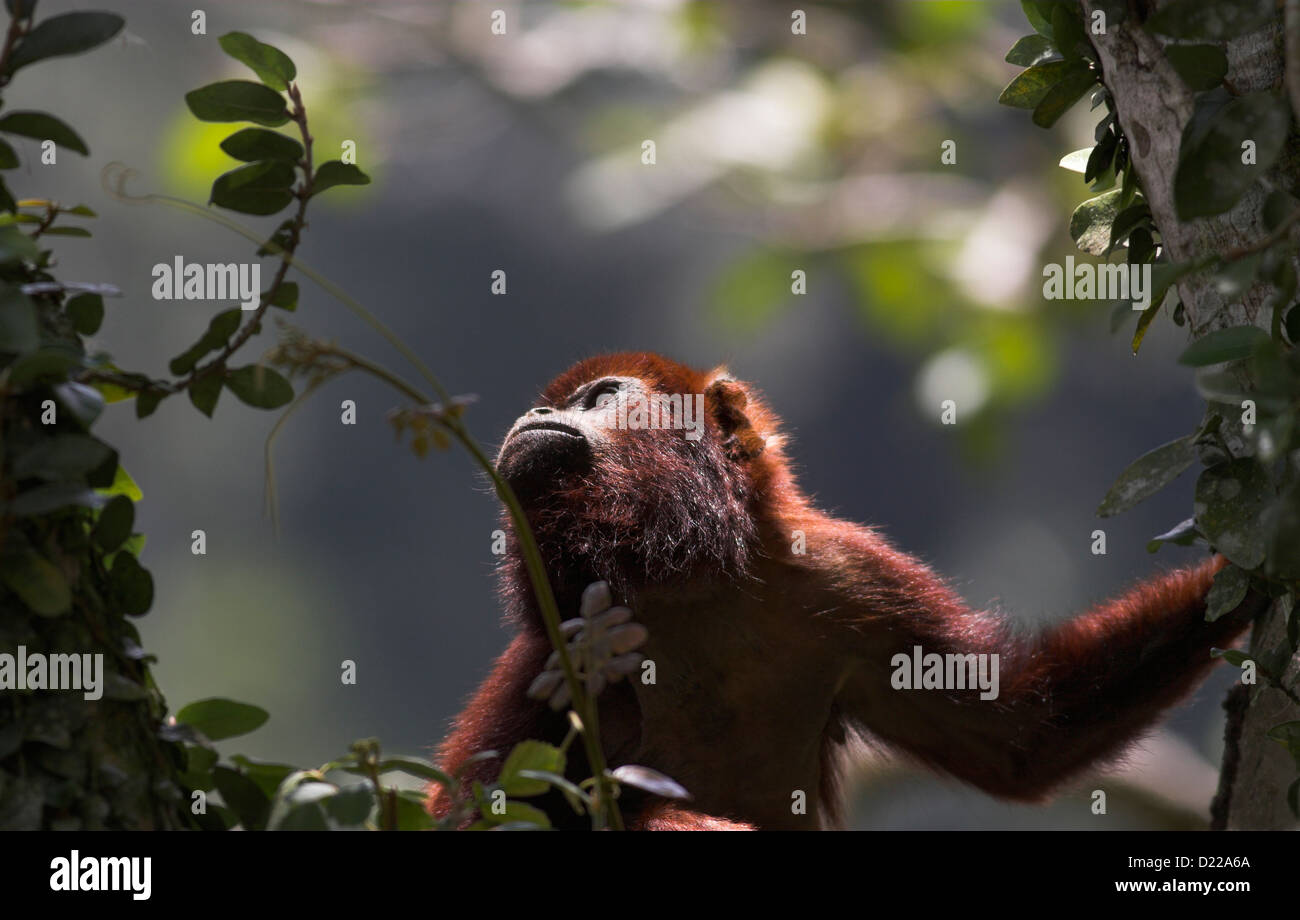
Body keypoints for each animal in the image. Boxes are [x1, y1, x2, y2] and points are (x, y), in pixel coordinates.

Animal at [428, 352, 1262, 830]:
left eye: (598, 397)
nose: (535, 412)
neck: (692, 588)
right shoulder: (554, 647)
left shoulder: (854, 579)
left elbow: (1023, 735)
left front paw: (1250, 569)